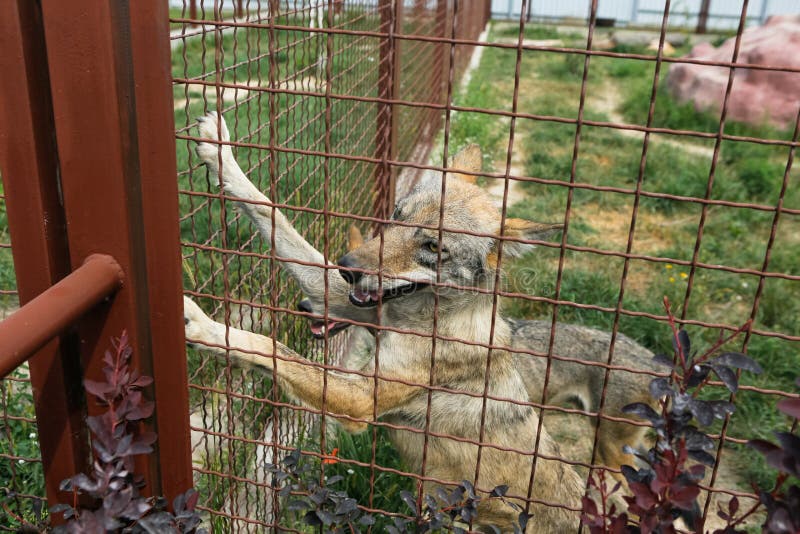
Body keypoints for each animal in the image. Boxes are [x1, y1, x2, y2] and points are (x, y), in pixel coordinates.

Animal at [184, 112, 655, 530]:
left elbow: (271, 347)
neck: (427, 321)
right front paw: (220, 151)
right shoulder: (336, 298)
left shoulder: (360, 402)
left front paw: (202, 326)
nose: (348, 267)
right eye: (397, 214)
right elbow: (273, 214)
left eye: (432, 246)